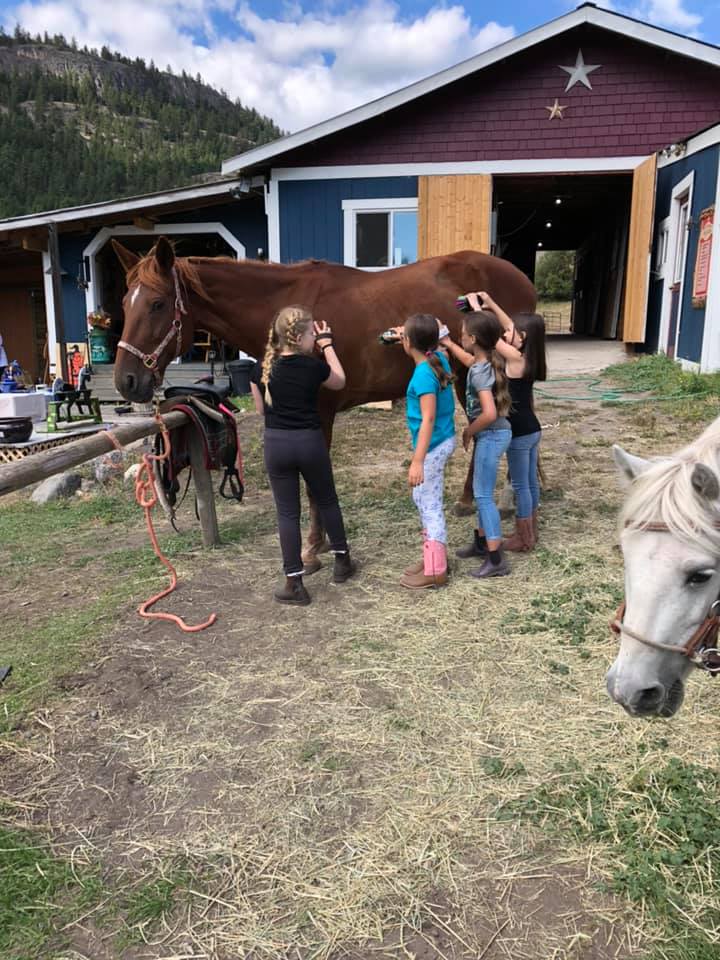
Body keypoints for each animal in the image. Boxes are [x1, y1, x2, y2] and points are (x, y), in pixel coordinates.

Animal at [112, 237, 536, 557]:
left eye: (157, 304)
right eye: (124, 303)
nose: (127, 381)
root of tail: (520, 278)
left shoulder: (319, 412)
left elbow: (314, 480)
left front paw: (315, 546)